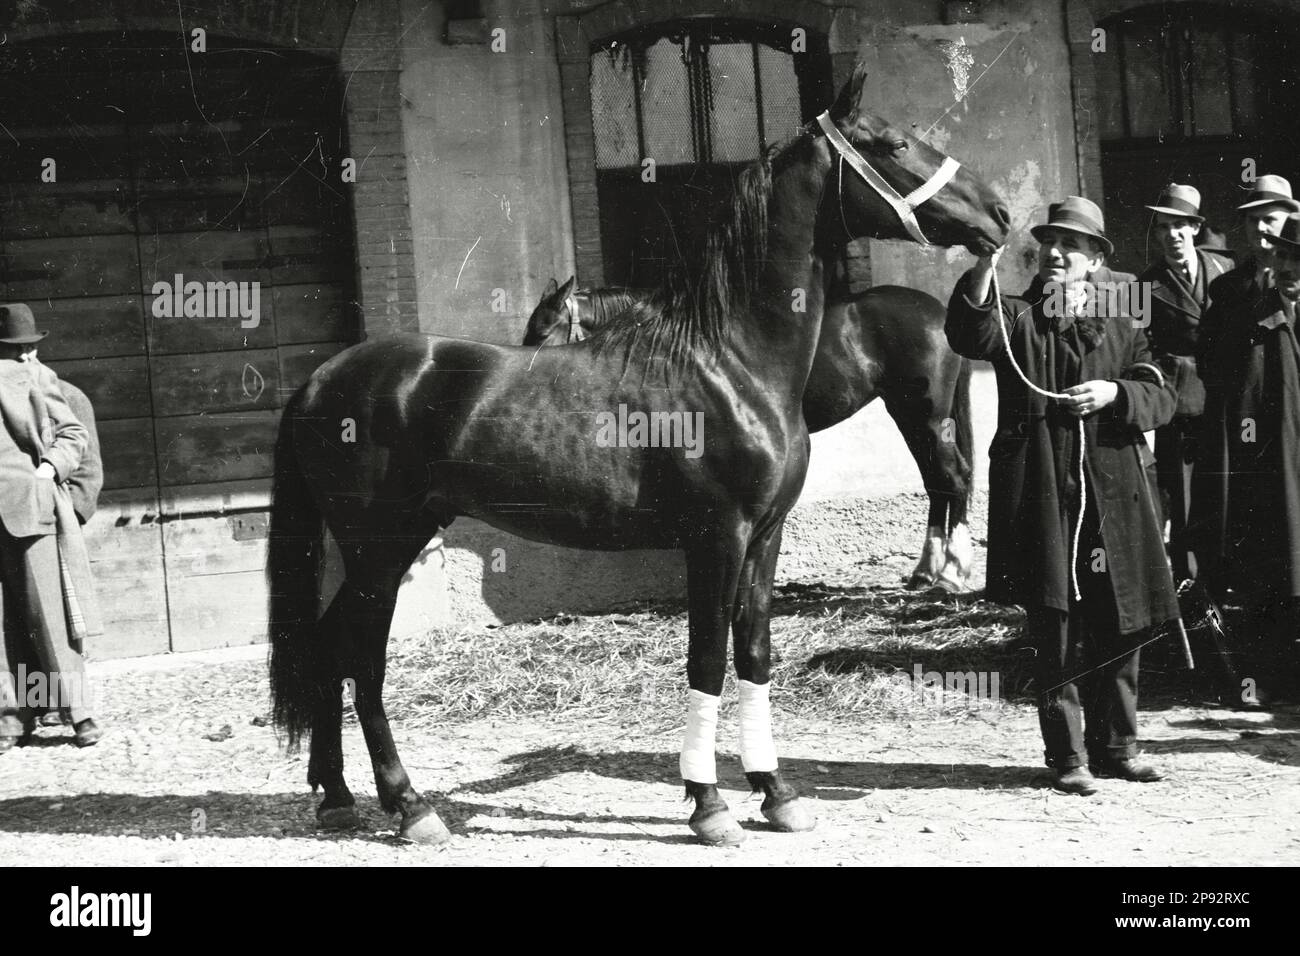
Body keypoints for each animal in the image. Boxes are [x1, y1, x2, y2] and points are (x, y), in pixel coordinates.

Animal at [525, 279, 976, 591]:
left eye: (543, 332)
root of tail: (938, 312)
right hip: (908, 414)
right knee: (937, 482)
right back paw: (926, 571)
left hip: (924, 415)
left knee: (952, 478)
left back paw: (951, 572)